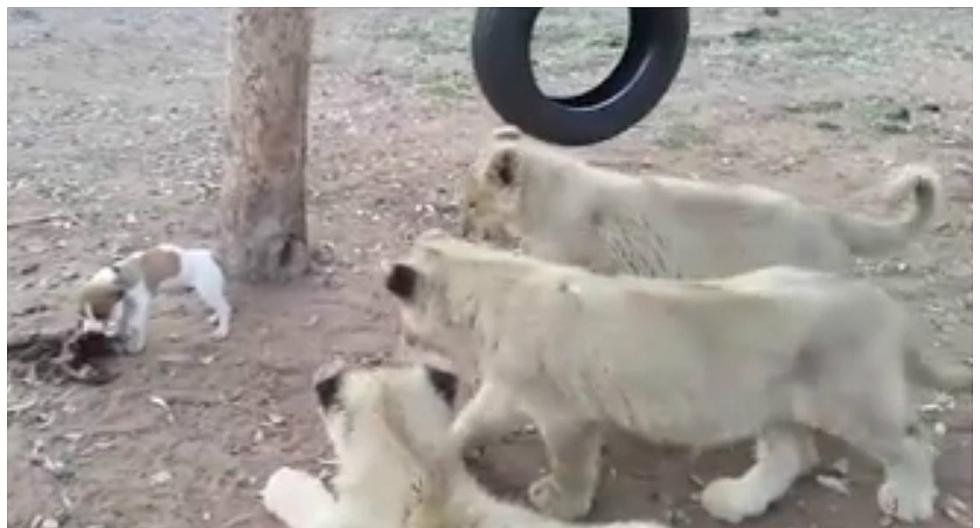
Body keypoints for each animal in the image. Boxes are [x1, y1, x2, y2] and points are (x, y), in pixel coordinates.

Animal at [383, 232, 970, 524]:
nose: (403, 342)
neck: (494, 282)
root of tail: (881, 300)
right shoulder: (509, 389)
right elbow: (471, 421)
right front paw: (441, 446)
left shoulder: (563, 412)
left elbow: (571, 465)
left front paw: (562, 504)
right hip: (774, 405)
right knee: (793, 456)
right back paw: (735, 501)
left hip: (851, 403)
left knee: (913, 444)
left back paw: (910, 500)